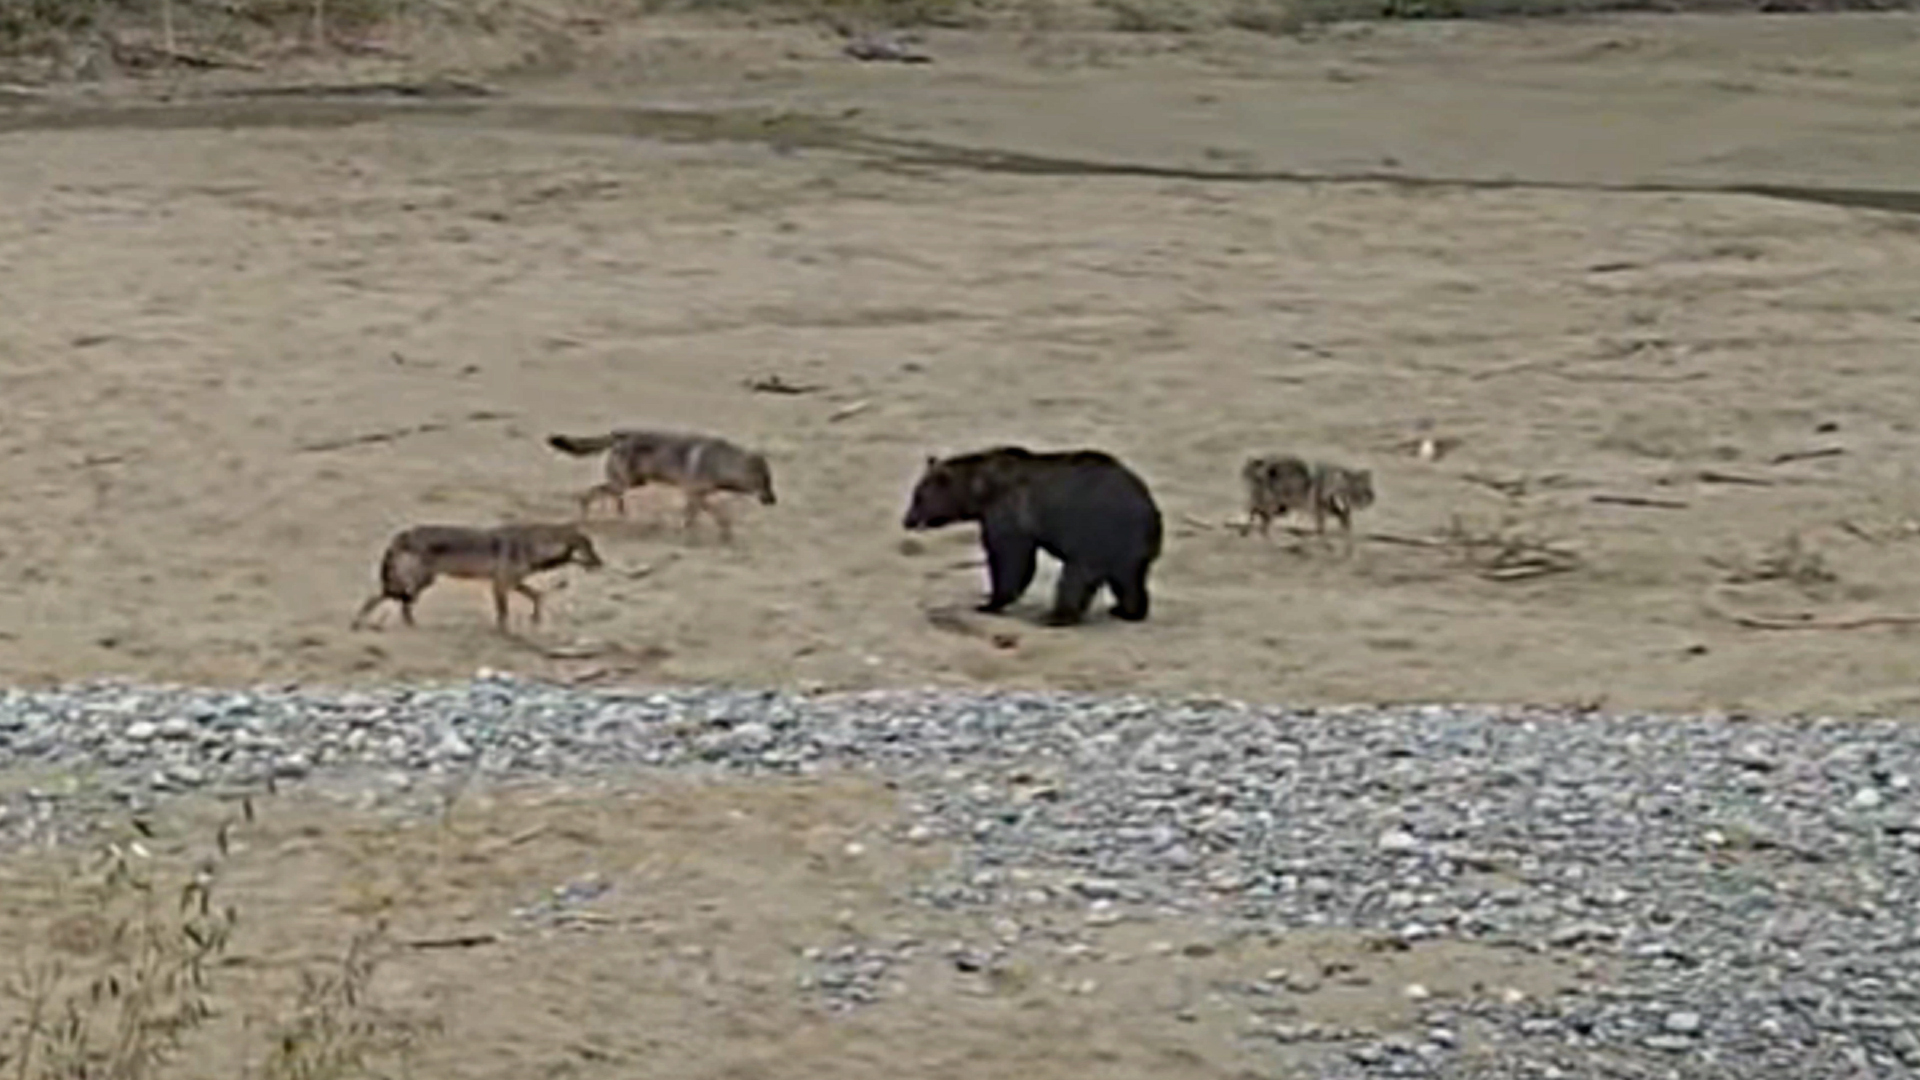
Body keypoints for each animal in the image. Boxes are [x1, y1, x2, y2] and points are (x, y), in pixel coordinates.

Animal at [901, 445, 1164, 626]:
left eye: (918, 497)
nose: (907, 520)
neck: (981, 491)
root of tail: (1150, 512)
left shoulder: (1009, 512)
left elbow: (1010, 557)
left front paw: (988, 602)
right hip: (1125, 547)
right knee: (1128, 581)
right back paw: (1127, 611)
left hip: (1098, 533)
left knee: (1076, 576)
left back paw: (1056, 616)